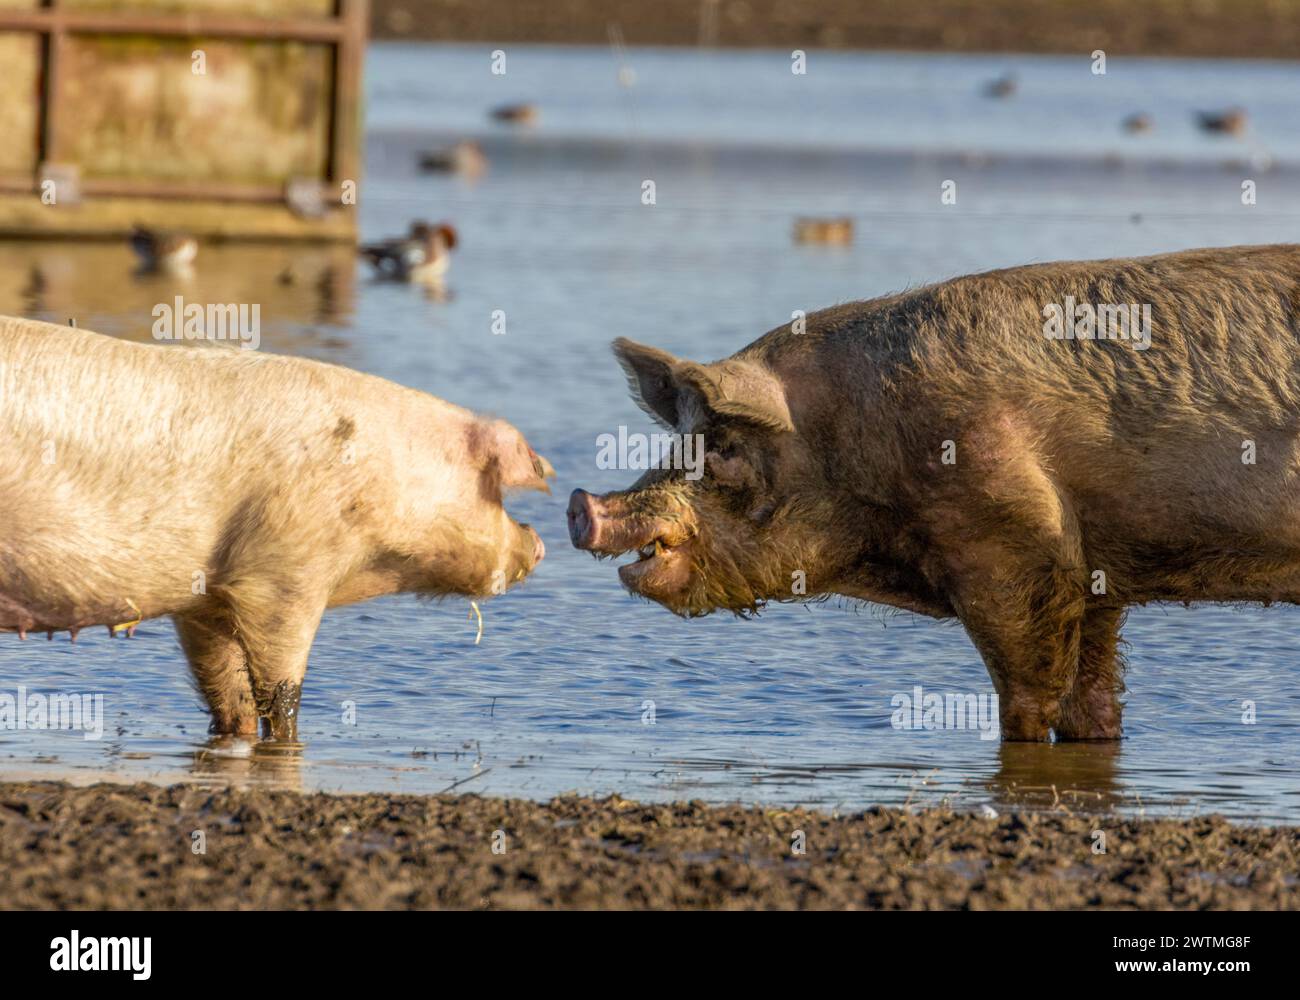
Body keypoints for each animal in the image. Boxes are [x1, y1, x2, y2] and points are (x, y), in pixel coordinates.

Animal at [0, 316, 550, 739]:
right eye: (494, 490)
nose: (540, 544)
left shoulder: (206, 595)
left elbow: (226, 687)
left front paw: (236, 733)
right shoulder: (285, 569)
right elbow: (281, 687)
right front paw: (285, 738)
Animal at [569, 243, 1300, 741]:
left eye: (721, 446)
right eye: (680, 439)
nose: (583, 506)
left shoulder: (1018, 551)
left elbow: (1030, 698)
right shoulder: (1096, 573)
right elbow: (1092, 703)